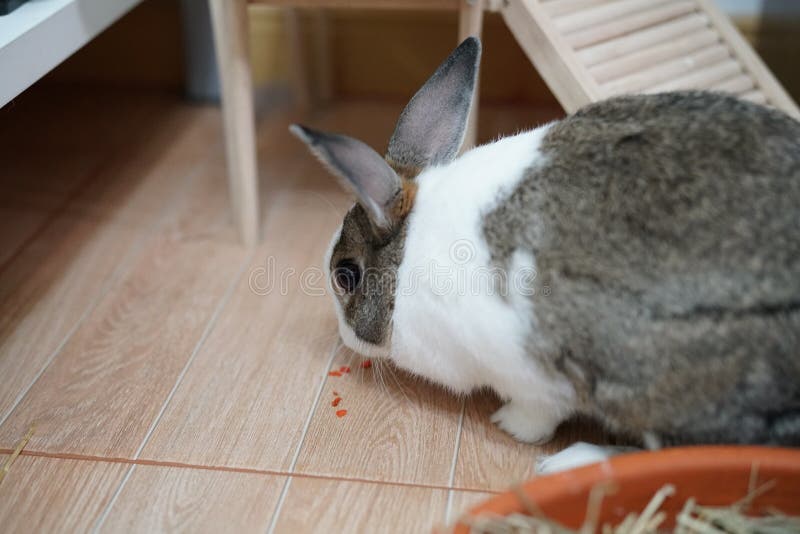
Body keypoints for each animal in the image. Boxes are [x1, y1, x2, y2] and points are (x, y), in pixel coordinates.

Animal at [290, 37, 800, 448]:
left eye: (345, 275)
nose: (344, 338)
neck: (408, 258)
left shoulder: (535, 376)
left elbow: (539, 414)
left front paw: (508, 425)